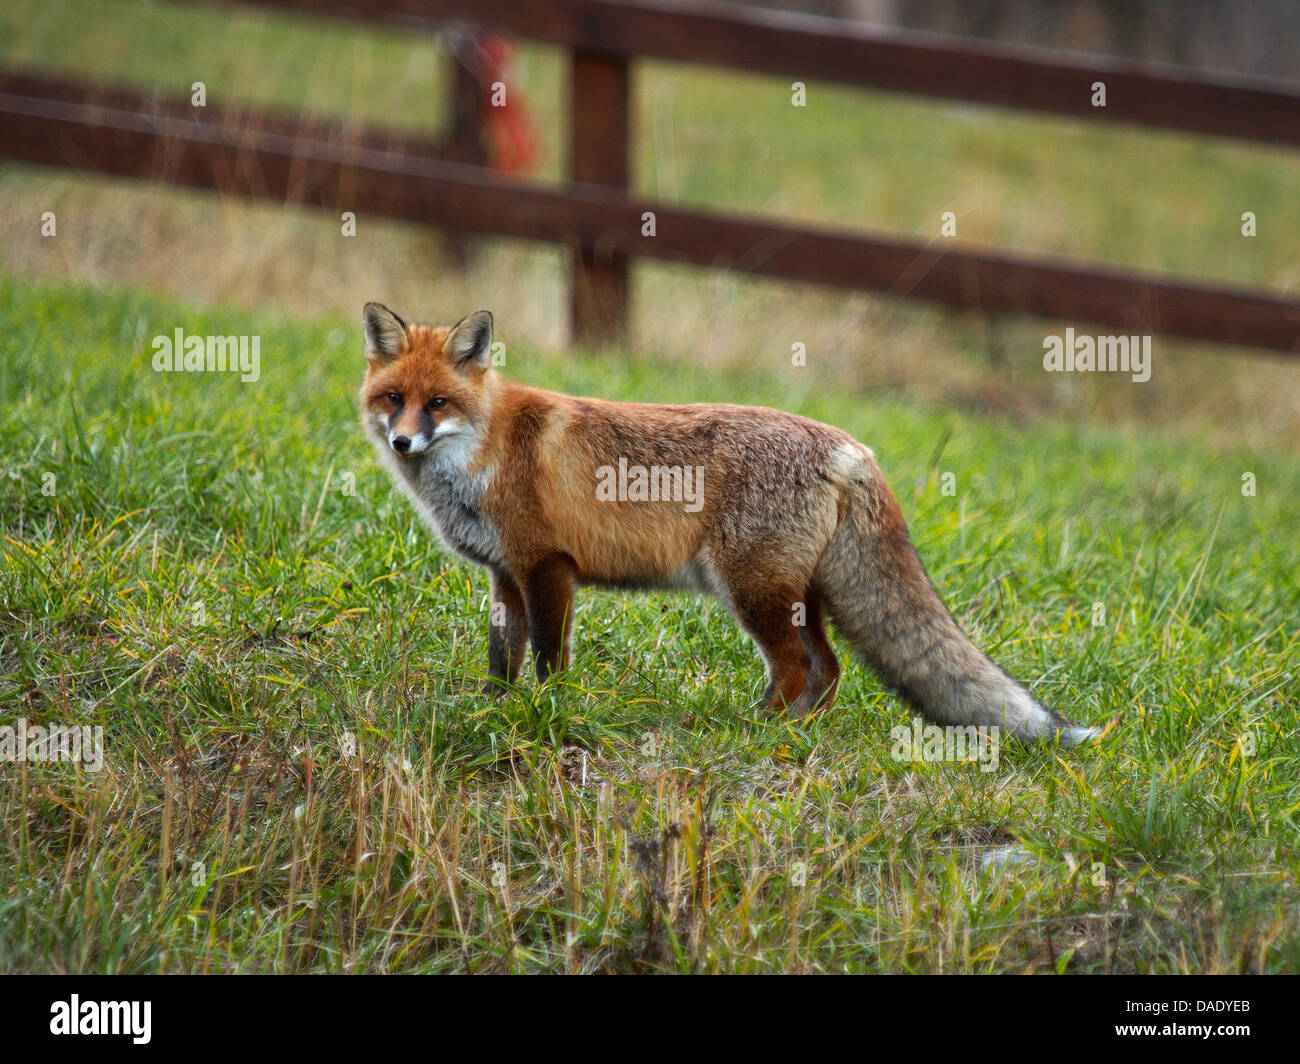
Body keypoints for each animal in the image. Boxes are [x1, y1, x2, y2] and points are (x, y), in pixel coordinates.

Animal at [359, 302, 1098, 744]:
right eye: (393, 399)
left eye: (438, 403)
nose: (402, 442)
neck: (484, 452)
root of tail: (850, 446)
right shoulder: (503, 576)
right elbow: (501, 661)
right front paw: (495, 711)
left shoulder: (547, 568)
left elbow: (548, 660)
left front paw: (548, 714)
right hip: (800, 594)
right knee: (828, 668)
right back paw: (798, 735)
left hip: (750, 588)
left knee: (799, 666)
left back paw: (758, 730)